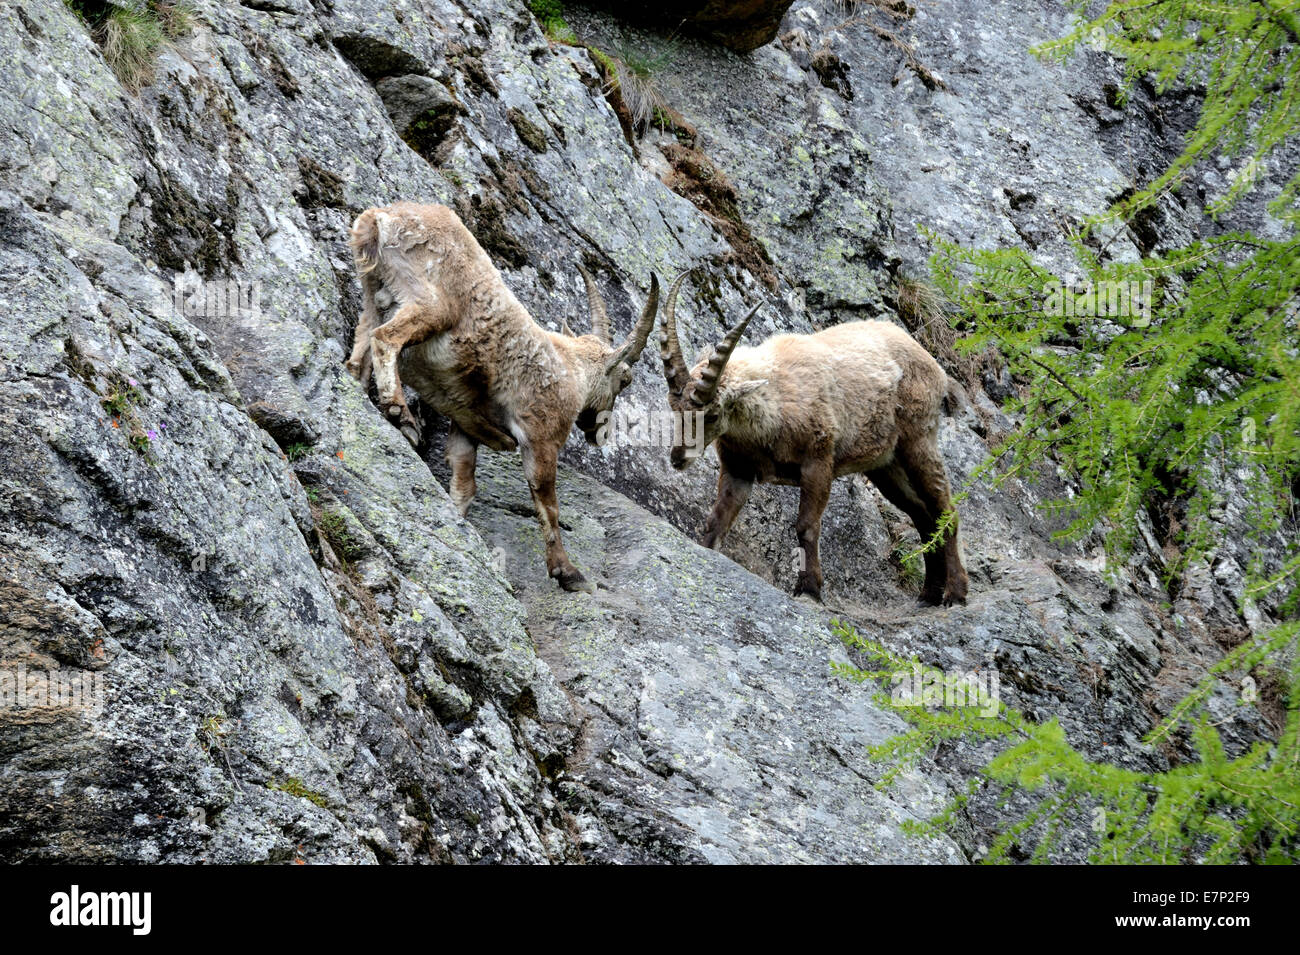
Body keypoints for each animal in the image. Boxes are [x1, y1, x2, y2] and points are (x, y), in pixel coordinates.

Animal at [347, 202, 660, 591]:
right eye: (625, 380)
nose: (598, 431)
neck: (571, 369)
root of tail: (381, 218)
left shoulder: (466, 419)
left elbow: (464, 480)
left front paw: (458, 522)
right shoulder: (540, 437)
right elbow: (547, 501)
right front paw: (567, 572)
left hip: (372, 293)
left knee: (360, 351)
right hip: (432, 303)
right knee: (385, 338)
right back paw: (400, 413)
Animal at [657, 279, 968, 605]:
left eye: (713, 414)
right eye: (673, 406)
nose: (678, 457)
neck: (776, 402)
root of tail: (936, 367)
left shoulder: (818, 462)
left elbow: (806, 526)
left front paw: (809, 589)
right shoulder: (738, 469)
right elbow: (718, 518)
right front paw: (704, 551)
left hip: (918, 443)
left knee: (946, 511)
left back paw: (956, 593)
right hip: (886, 467)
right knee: (922, 517)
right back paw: (929, 593)